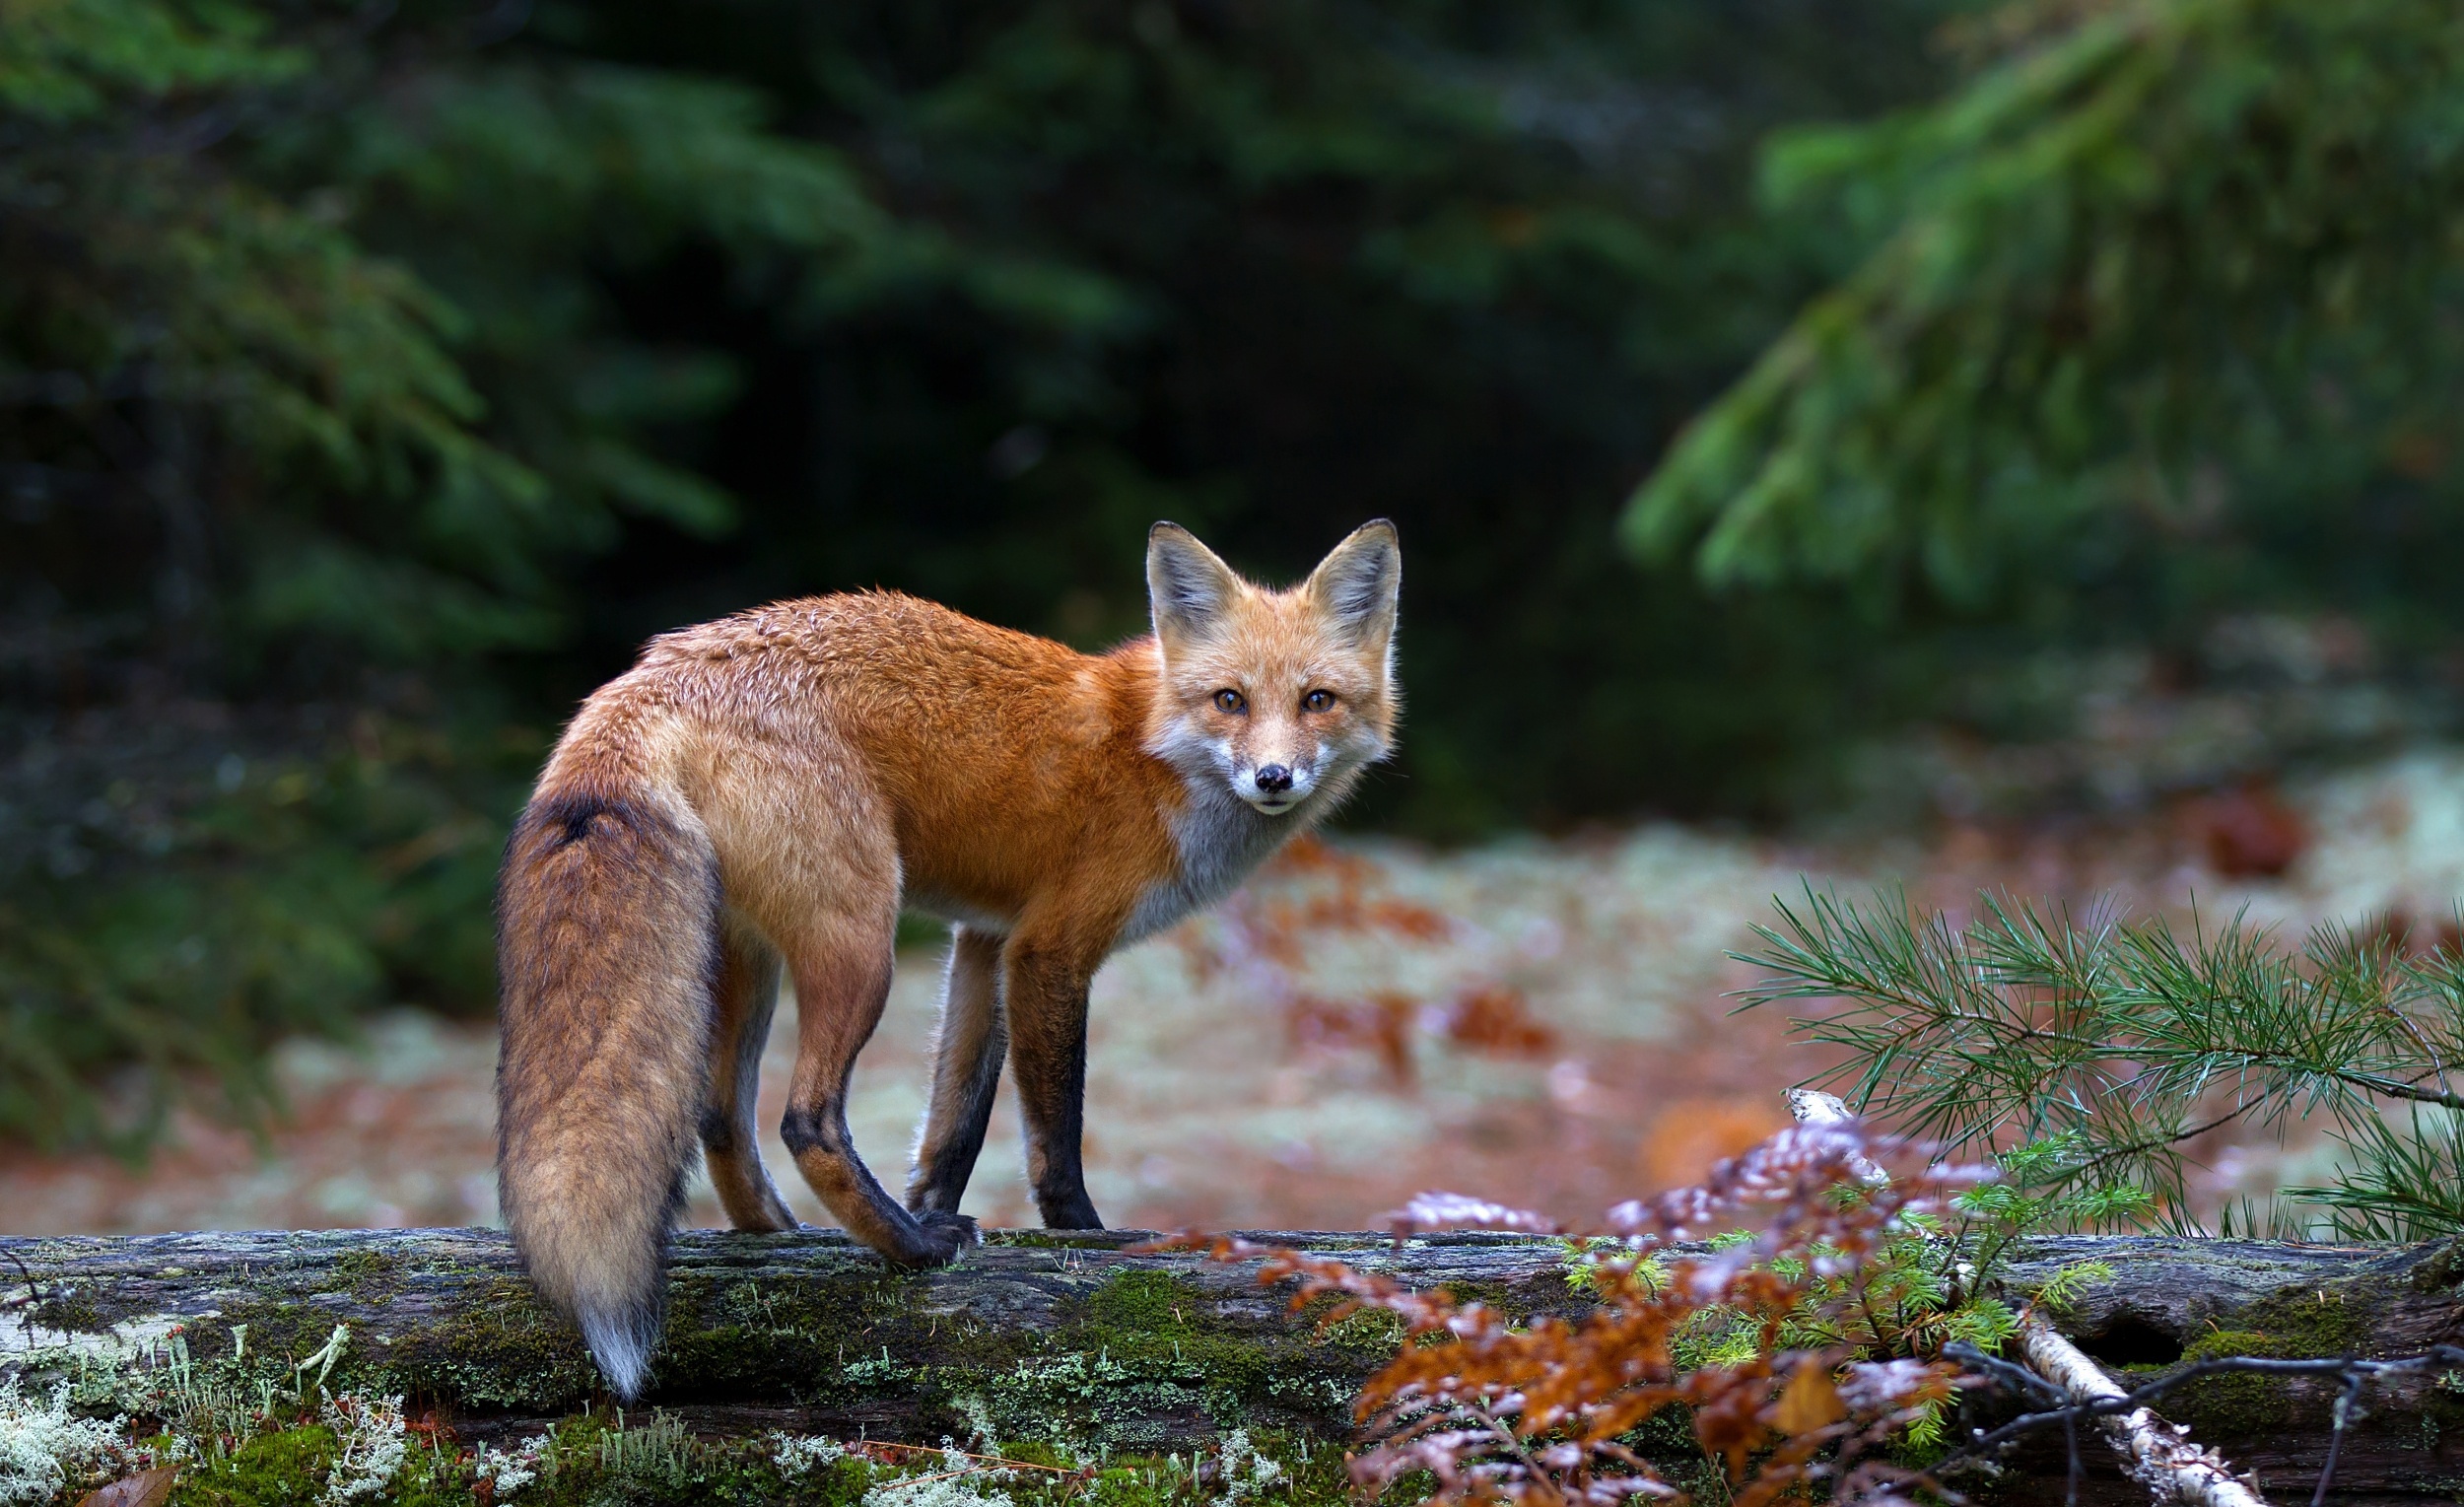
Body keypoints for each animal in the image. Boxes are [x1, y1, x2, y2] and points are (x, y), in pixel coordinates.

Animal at [495, 519, 1400, 1397]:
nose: (1274, 776)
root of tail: (651, 672)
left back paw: (793, 1236)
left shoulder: (986, 941)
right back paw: (909, 1250)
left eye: (1317, 701)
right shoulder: (1048, 949)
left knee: (721, 1119)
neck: (1150, 751)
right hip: (861, 941)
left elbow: (955, 1121)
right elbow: (1054, 1135)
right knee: (805, 1120)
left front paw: (931, 1203)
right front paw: (1085, 1239)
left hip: (749, 958)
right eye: (1230, 700)